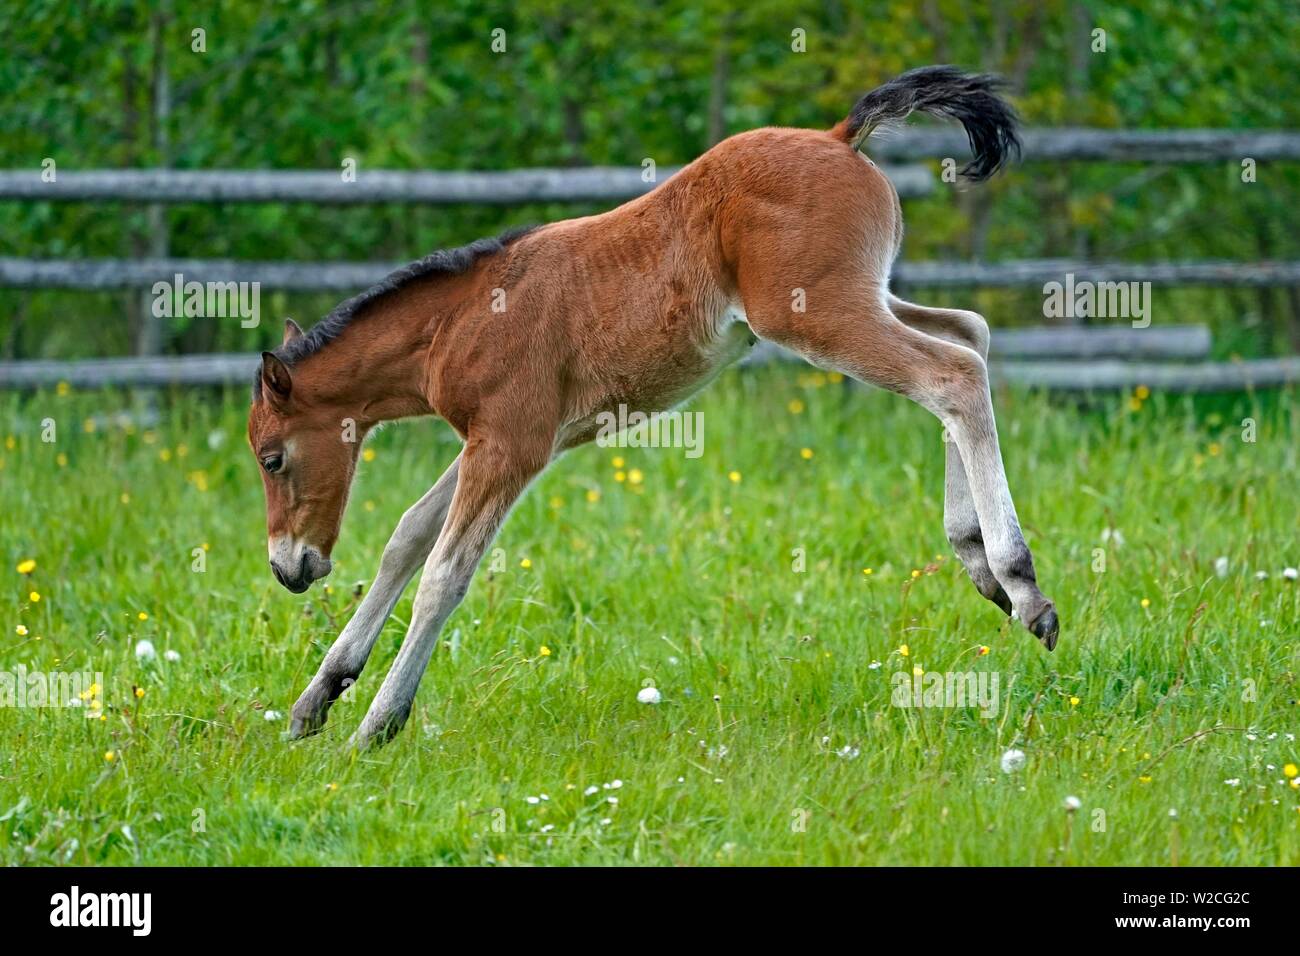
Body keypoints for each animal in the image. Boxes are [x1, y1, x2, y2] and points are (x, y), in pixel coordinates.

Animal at [248, 69, 1060, 754]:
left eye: (272, 458)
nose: (290, 569)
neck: (458, 321)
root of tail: (838, 136)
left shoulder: (510, 443)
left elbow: (445, 573)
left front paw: (377, 725)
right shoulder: (502, 440)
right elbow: (408, 537)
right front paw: (318, 698)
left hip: (818, 316)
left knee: (952, 375)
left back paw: (1019, 582)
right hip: (863, 300)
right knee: (970, 334)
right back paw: (978, 558)